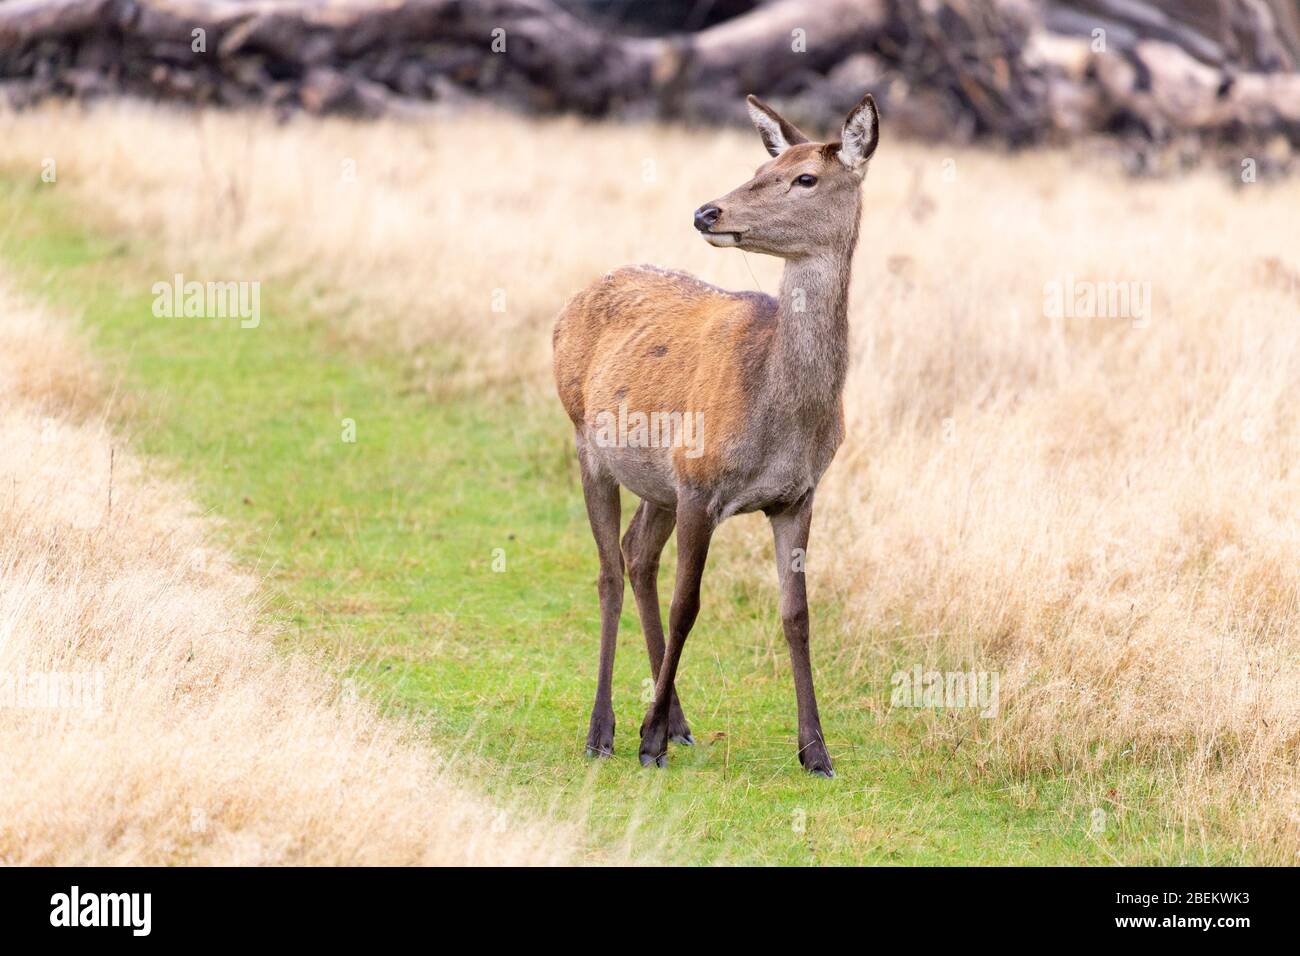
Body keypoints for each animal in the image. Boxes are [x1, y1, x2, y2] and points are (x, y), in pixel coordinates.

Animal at [552, 92, 879, 777]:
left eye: (804, 178)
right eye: (758, 169)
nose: (708, 210)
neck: (784, 416)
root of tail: (567, 307)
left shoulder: (797, 496)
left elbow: (797, 614)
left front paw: (816, 750)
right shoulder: (701, 483)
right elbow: (689, 605)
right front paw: (647, 742)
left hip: (658, 482)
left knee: (636, 553)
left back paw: (675, 719)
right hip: (589, 444)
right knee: (609, 574)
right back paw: (606, 730)